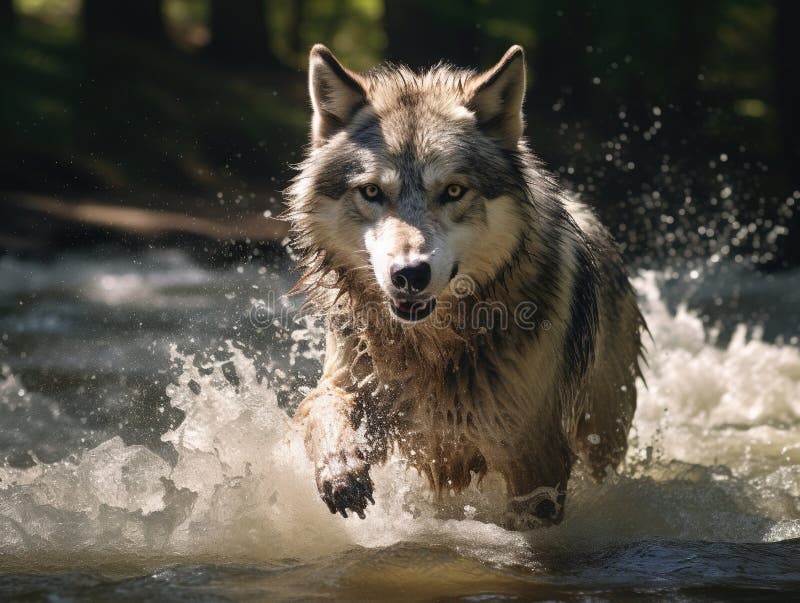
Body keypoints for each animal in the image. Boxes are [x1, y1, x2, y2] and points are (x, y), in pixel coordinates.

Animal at [286, 44, 646, 526]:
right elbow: (325, 410)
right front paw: (341, 473)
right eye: (372, 192)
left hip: (600, 437)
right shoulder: (352, 385)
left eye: (454, 191)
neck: (433, 350)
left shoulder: (536, 457)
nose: (410, 273)